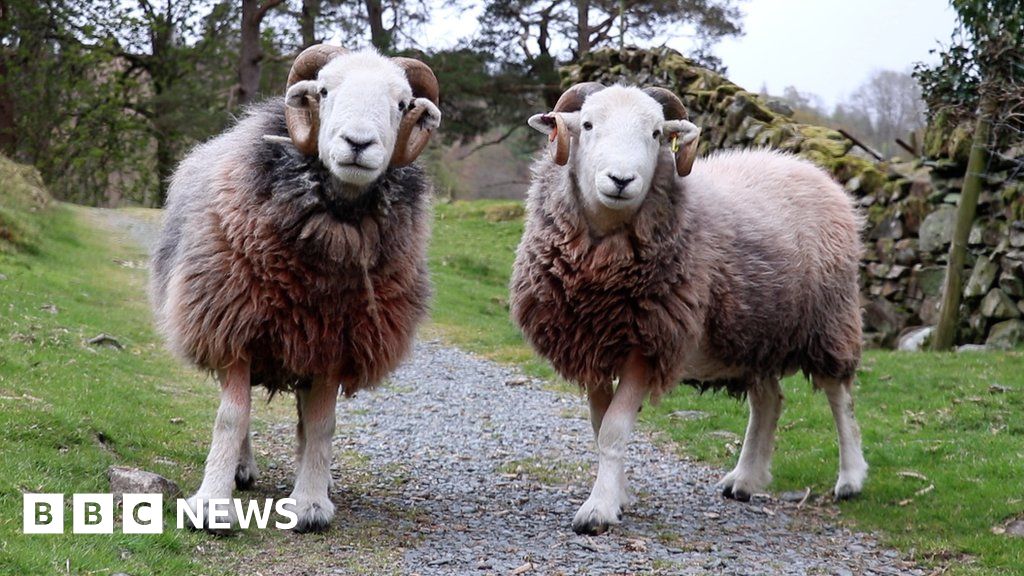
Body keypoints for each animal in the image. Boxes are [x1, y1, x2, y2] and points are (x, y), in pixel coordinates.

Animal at [150, 45, 441, 533]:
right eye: (323, 90)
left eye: (402, 104)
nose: (358, 144)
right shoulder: (233, 326)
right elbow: (231, 416)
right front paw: (212, 504)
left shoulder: (335, 343)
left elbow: (323, 424)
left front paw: (310, 502)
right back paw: (242, 468)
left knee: (308, 420)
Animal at [510, 82, 867, 536]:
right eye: (587, 125)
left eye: (657, 134)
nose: (621, 180)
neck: (601, 271)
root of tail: (808, 168)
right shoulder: (589, 341)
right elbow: (599, 425)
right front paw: (618, 497)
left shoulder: (649, 343)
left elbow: (613, 430)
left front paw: (599, 510)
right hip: (754, 331)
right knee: (769, 400)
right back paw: (744, 480)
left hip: (829, 319)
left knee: (841, 398)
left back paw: (851, 478)